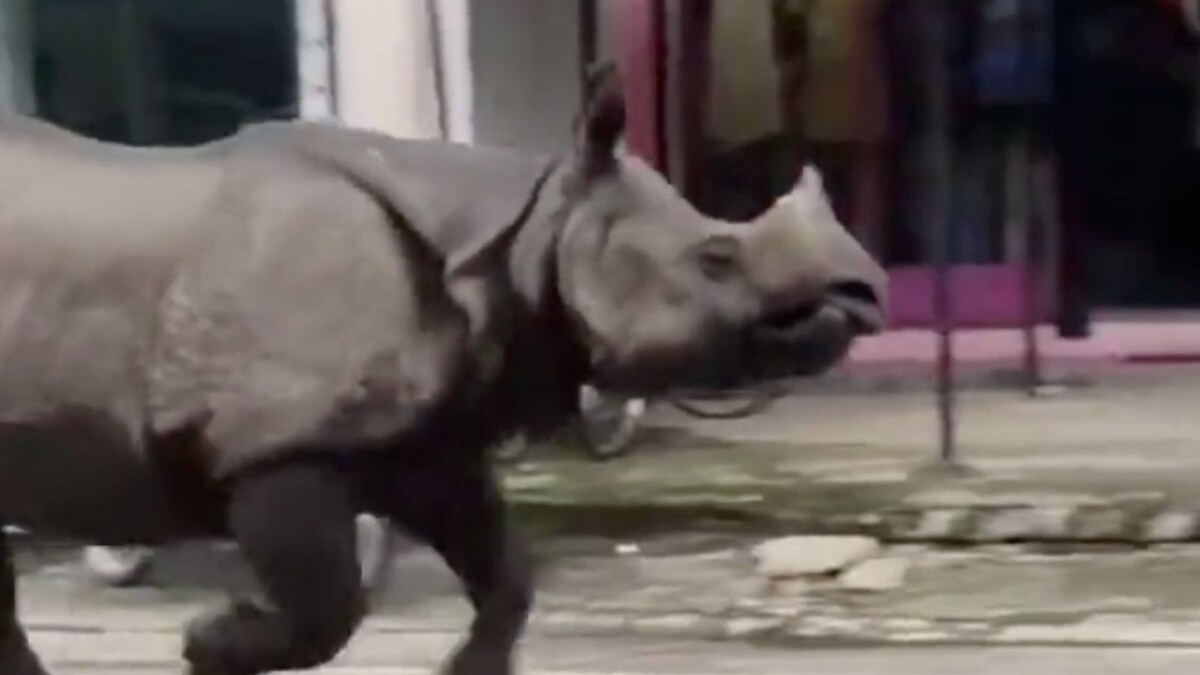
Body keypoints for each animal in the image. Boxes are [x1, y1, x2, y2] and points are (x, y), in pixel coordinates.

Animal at [0, 65, 885, 675]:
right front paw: (210, 640)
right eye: (717, 257)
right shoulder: (276, 438)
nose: (865, 292)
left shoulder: (429, 441)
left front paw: (467, 670)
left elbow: (507, 576)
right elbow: (329, 608)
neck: (526, 230)